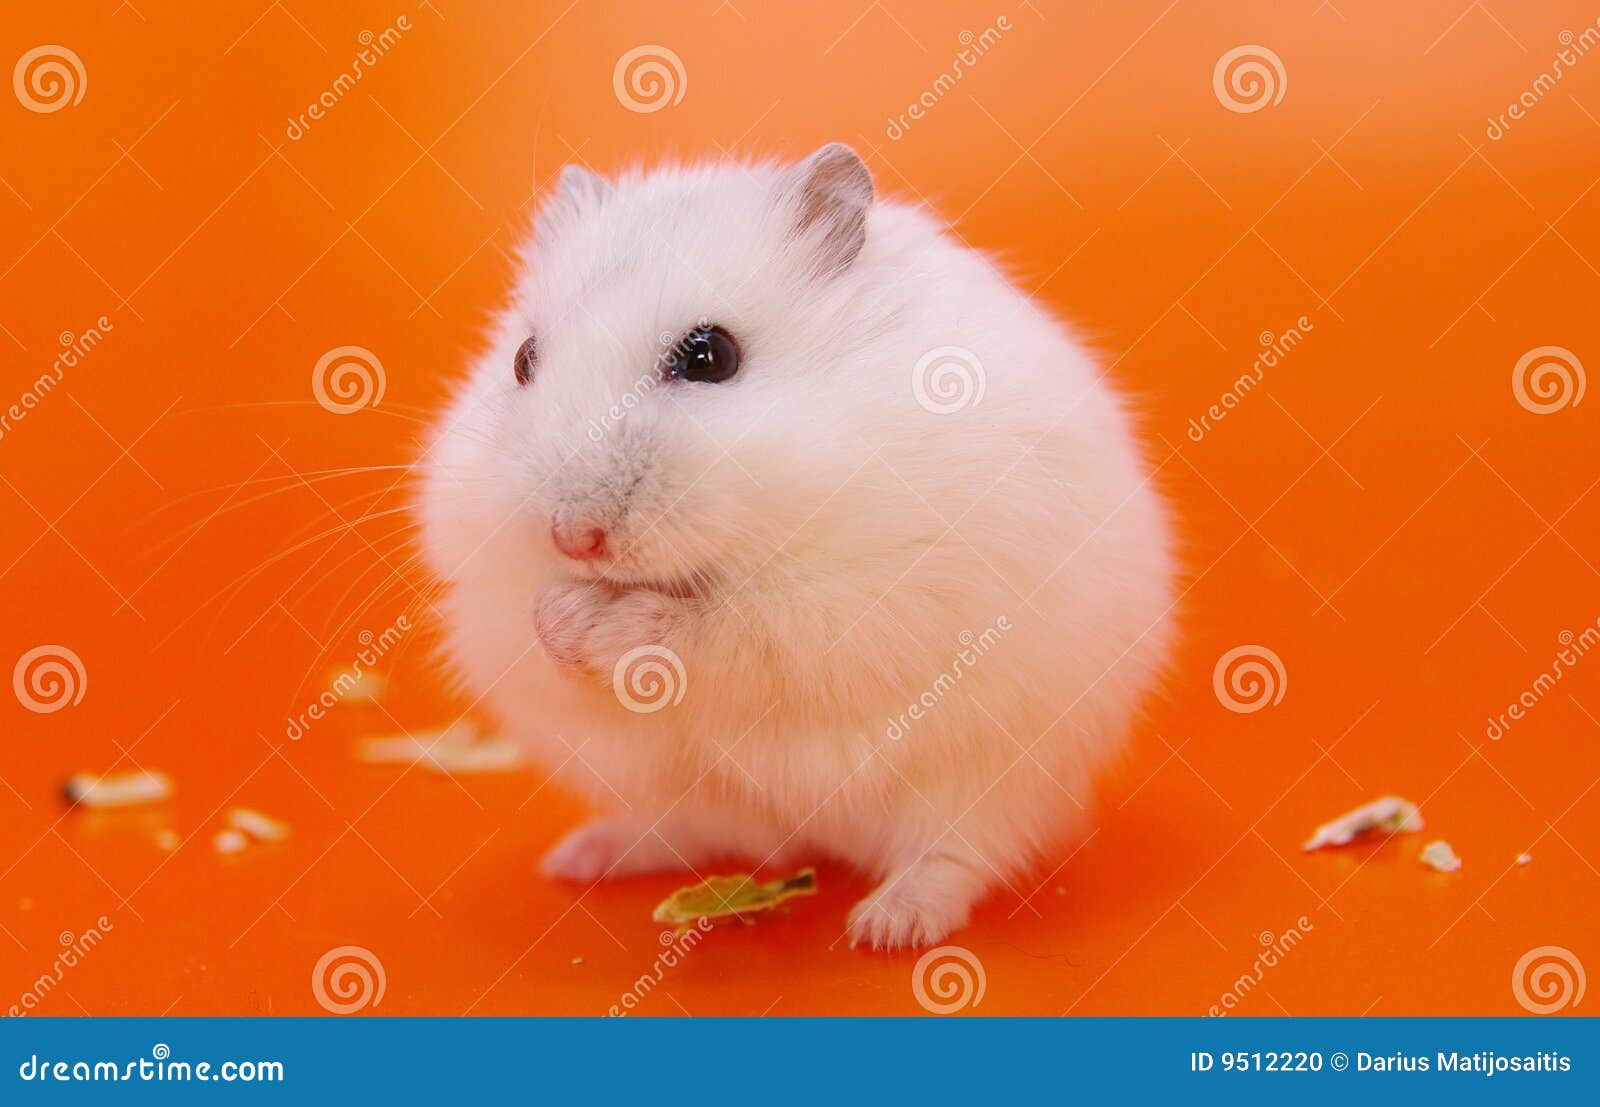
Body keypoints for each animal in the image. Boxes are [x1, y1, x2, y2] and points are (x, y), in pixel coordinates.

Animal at [418, 143, 1177, 949]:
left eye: (710, 356)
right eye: (524, 360)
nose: (574, 537)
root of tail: (829, 840)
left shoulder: (862, 593)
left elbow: (729, 632)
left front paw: (615, 622)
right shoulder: (490, 598)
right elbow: (529, 627)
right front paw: (559, 617)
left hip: (996, 777)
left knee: (964, 852)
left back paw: (889, 925)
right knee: (706, 833)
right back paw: (582, 857)